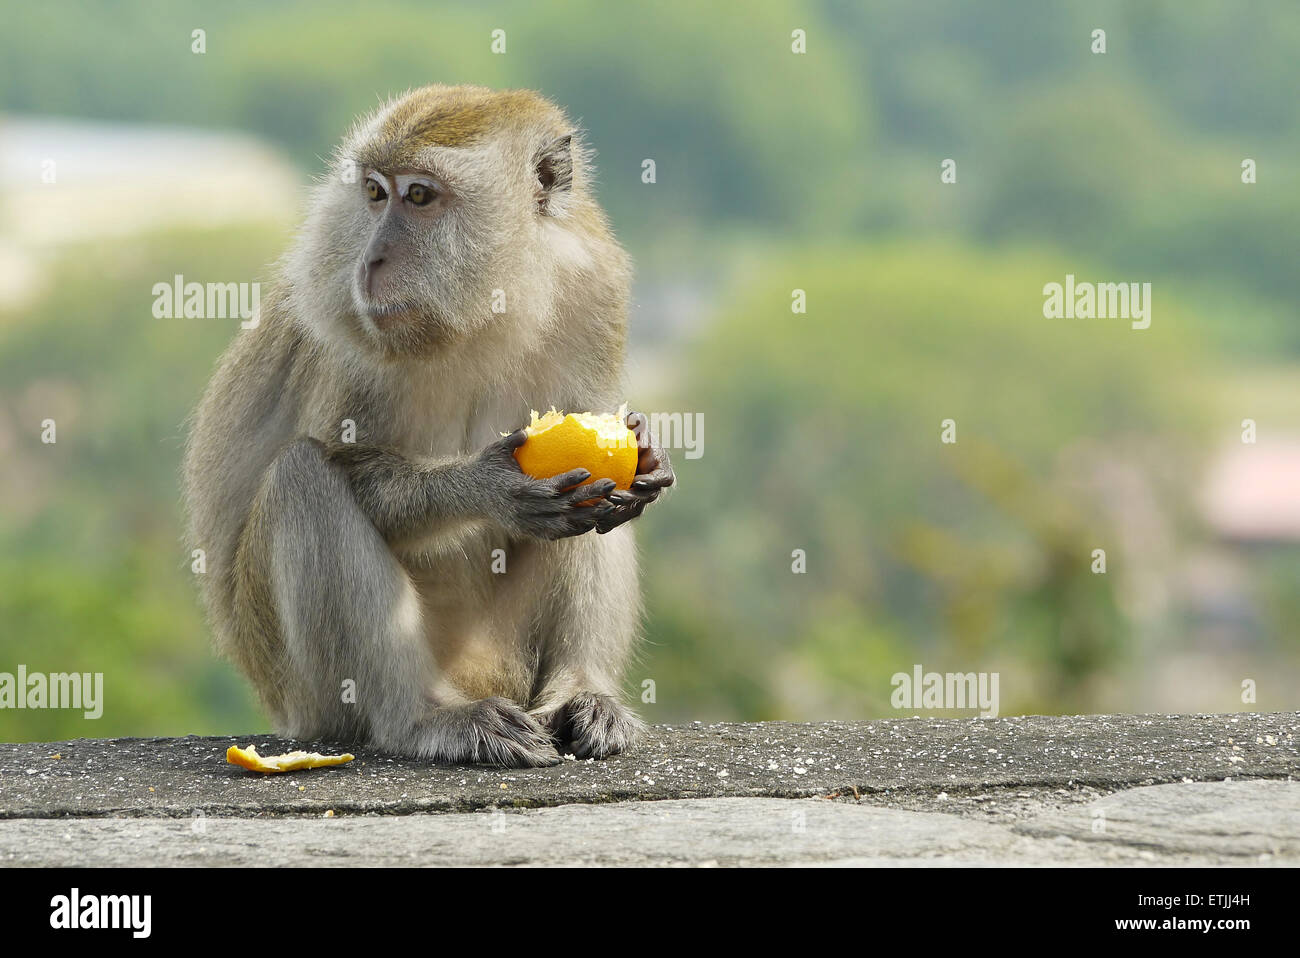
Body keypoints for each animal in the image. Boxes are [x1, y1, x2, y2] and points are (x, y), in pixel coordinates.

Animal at [182, 85, 674, 767]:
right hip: (306, 690)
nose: (370, 260)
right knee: (302, 477)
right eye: (374, 193)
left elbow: (596, 436)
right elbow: (352, 466)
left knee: (595, 512)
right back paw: (426, 717)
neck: (485, 303)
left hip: (503, 651)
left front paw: (647, 453)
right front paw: (486, 487)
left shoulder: (594, 282)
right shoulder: (340, 321)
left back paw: (581, 694)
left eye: (418, 196)